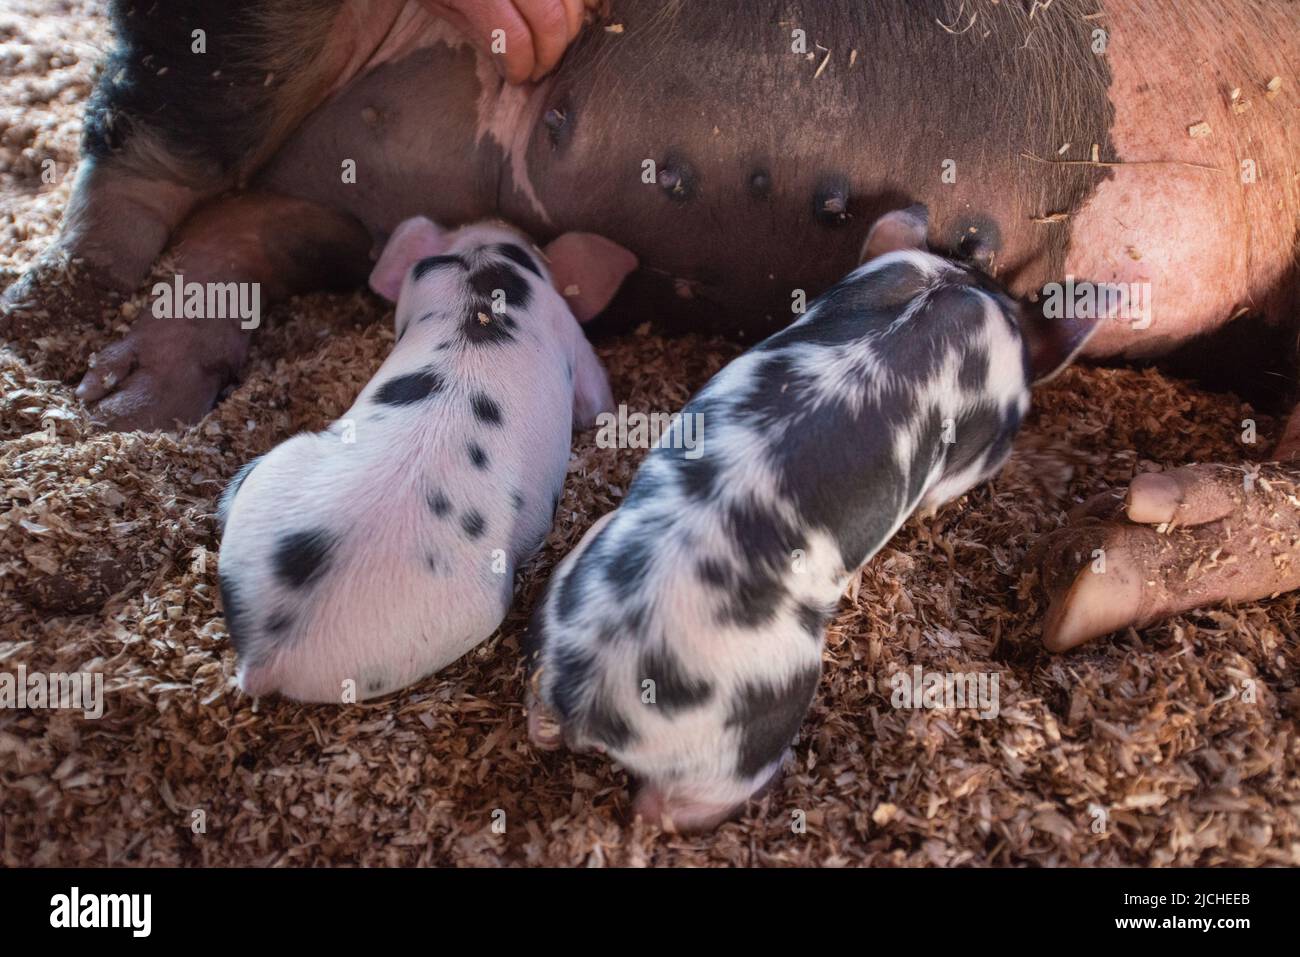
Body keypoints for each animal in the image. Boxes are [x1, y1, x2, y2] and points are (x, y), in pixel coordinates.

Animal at [216, 216, 635, 702]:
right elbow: (594, 396)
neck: (482, 263)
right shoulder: (569, 333)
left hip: (279, 469)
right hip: (469, 612)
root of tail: (265, 652)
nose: (497, 218)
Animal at [522, 207, 1098, 830]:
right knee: (666, 810)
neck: (952, 291)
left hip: (575, 570)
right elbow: (945, 489)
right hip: (759, 710)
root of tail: (591, 698)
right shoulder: (976, 448)